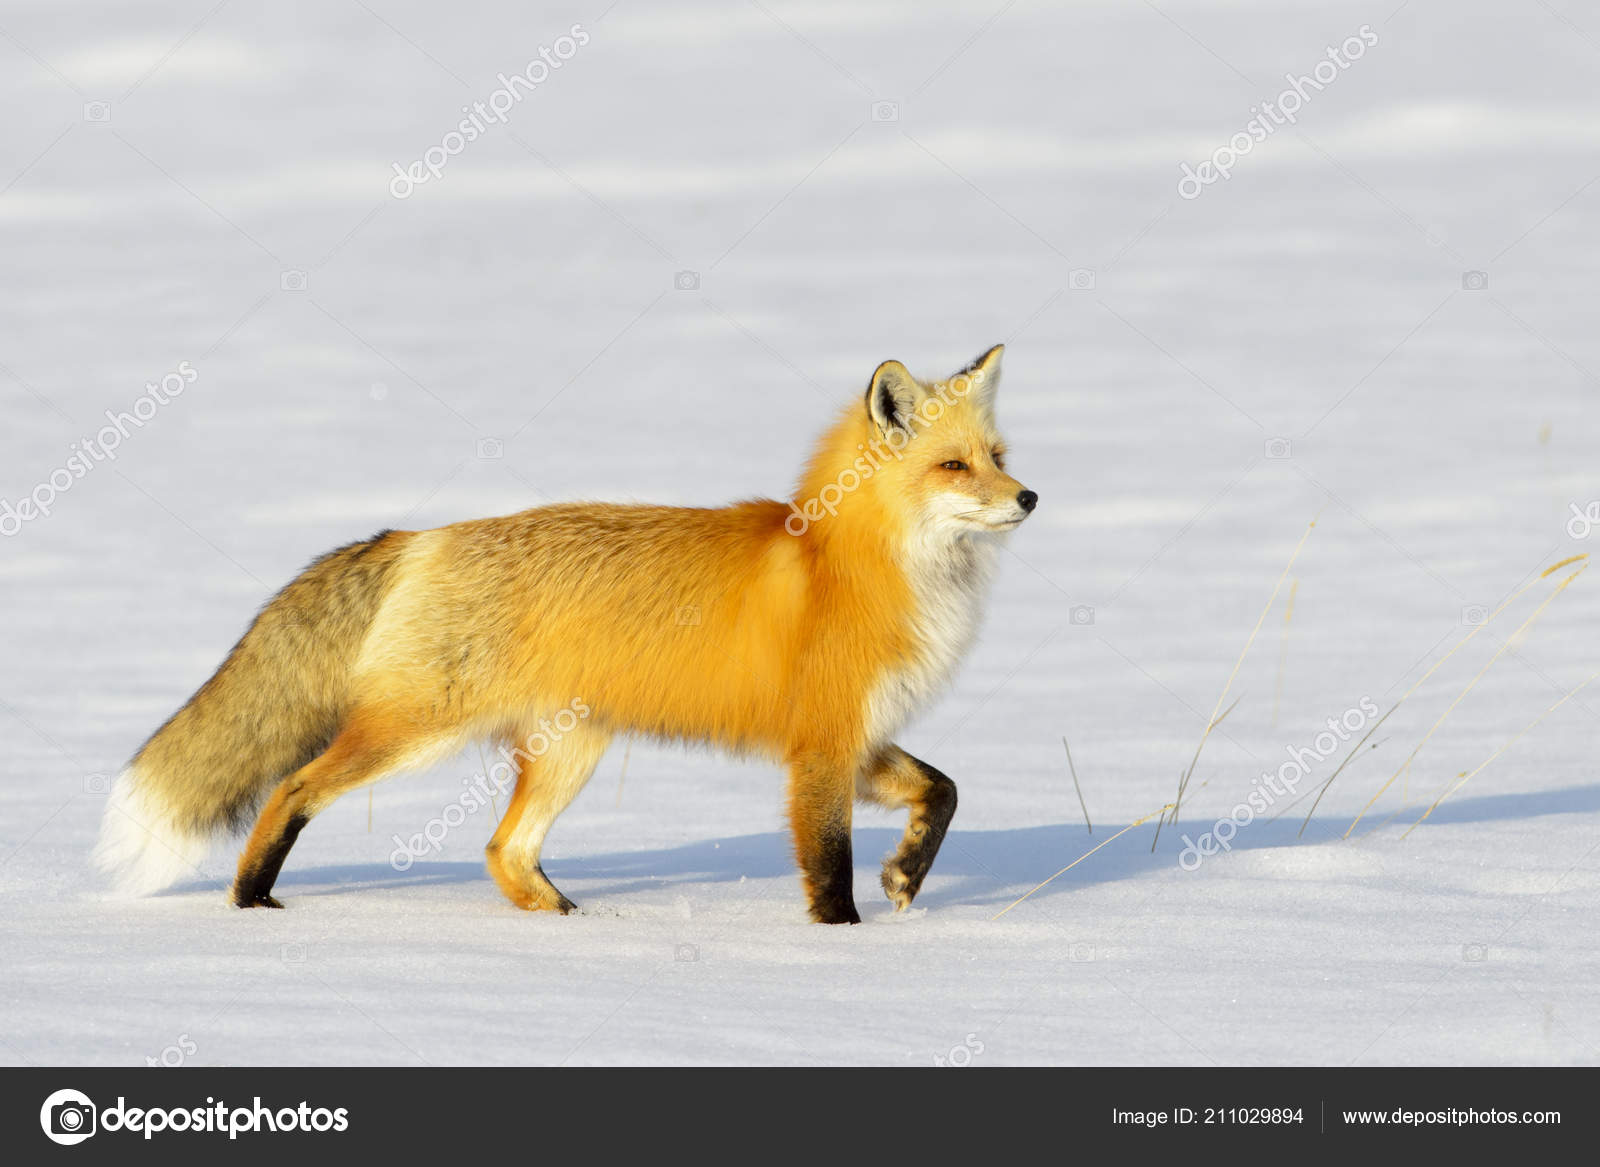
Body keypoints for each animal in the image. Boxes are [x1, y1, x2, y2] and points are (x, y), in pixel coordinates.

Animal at [94, 344, 1036, 923]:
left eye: (999, 456)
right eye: (954, 467)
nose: (1029, 498)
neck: (854, 563)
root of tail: (421, 536)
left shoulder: (857, 735)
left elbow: (945, 791)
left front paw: (906, 878)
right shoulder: (823, 744)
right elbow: (830, 866)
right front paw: (851, 944)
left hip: (569, 748)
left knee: (502, 850)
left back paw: (572, 926)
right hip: (418, 732)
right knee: (293, 788)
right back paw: (250, 903)